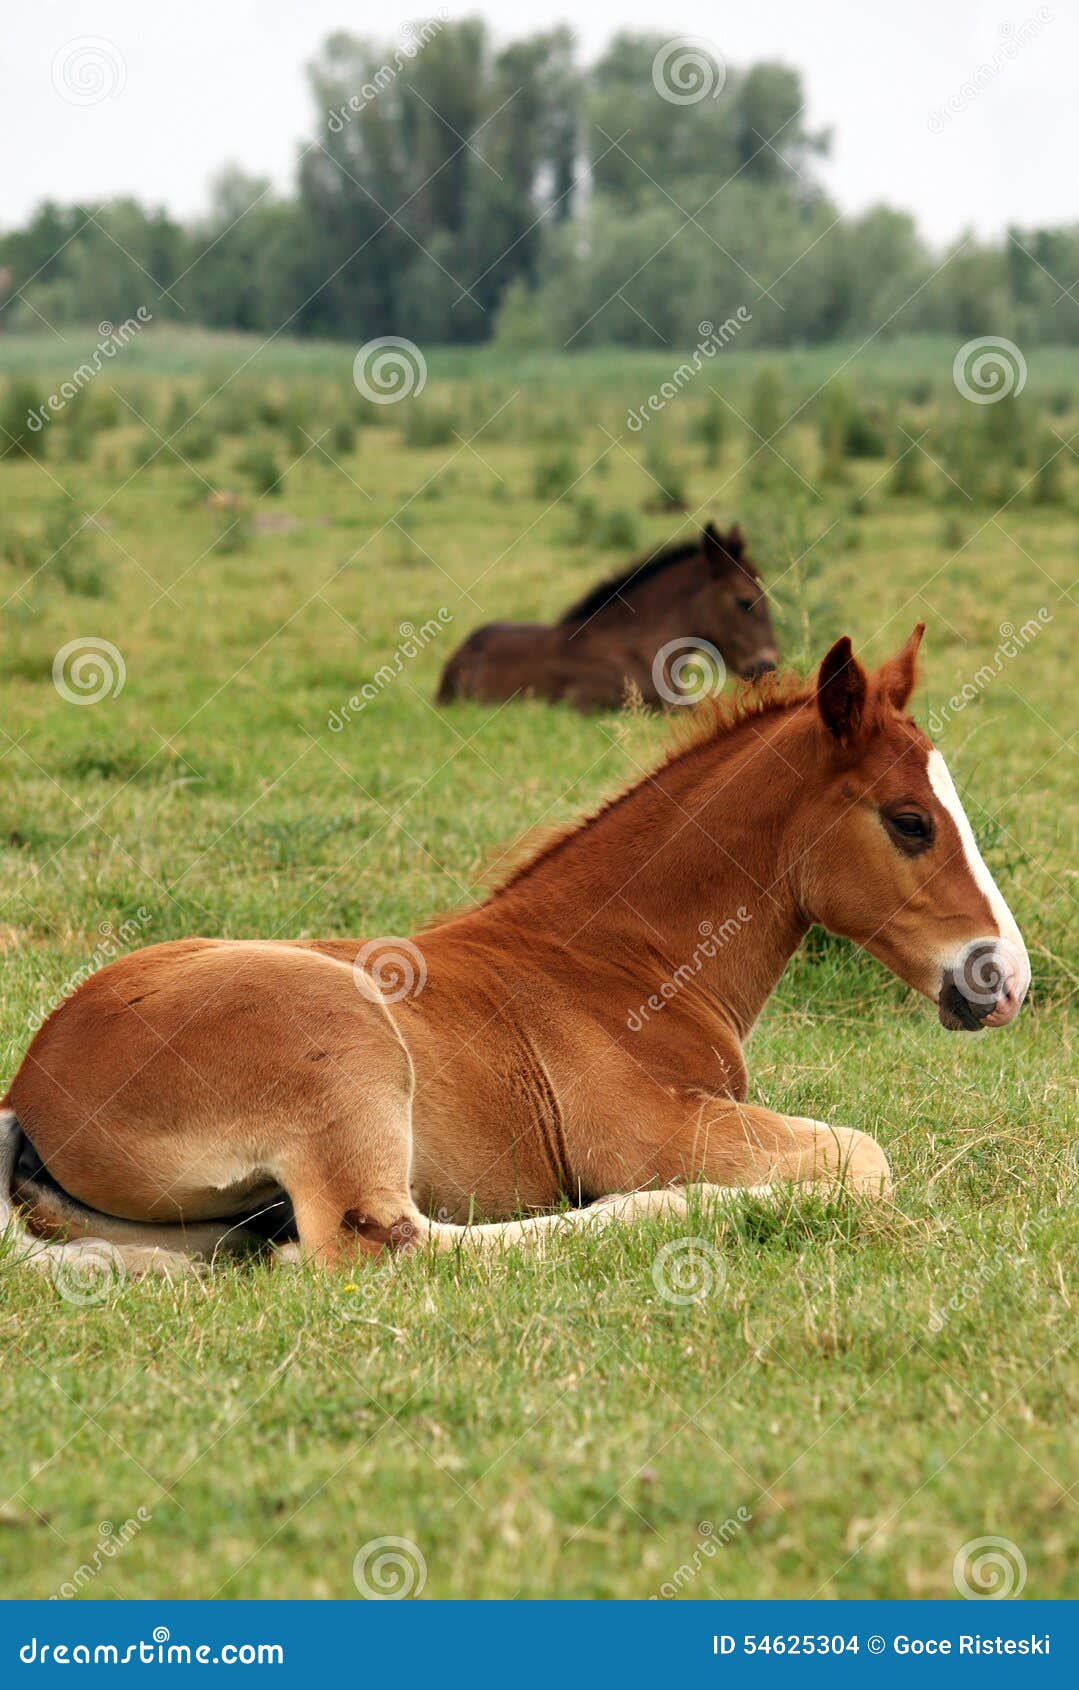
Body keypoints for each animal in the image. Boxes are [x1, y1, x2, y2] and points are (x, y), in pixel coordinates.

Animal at [1, 624, 1030, 1281]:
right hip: (343, 1053)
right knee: (373, 1245)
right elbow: (864, 1160)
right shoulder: (652, 1128)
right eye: (909, 821)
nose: (1005, 979)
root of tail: (35, 1080)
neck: (616, 963)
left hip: (195, 1221)